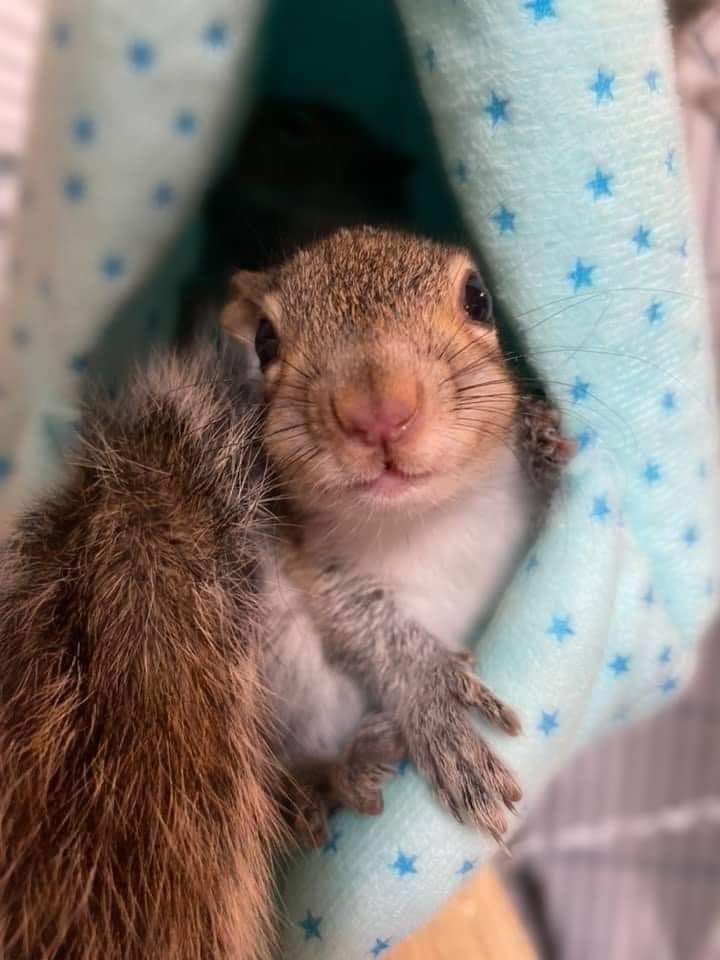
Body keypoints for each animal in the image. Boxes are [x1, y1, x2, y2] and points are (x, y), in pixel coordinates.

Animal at [0, 227, 572, 958]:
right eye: (266, 341)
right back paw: (330, 779)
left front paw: (541, 437)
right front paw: (430, 695)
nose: (378, 411)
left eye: (479, 298)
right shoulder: (316, 570)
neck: (426, 522)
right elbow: (366, 630)